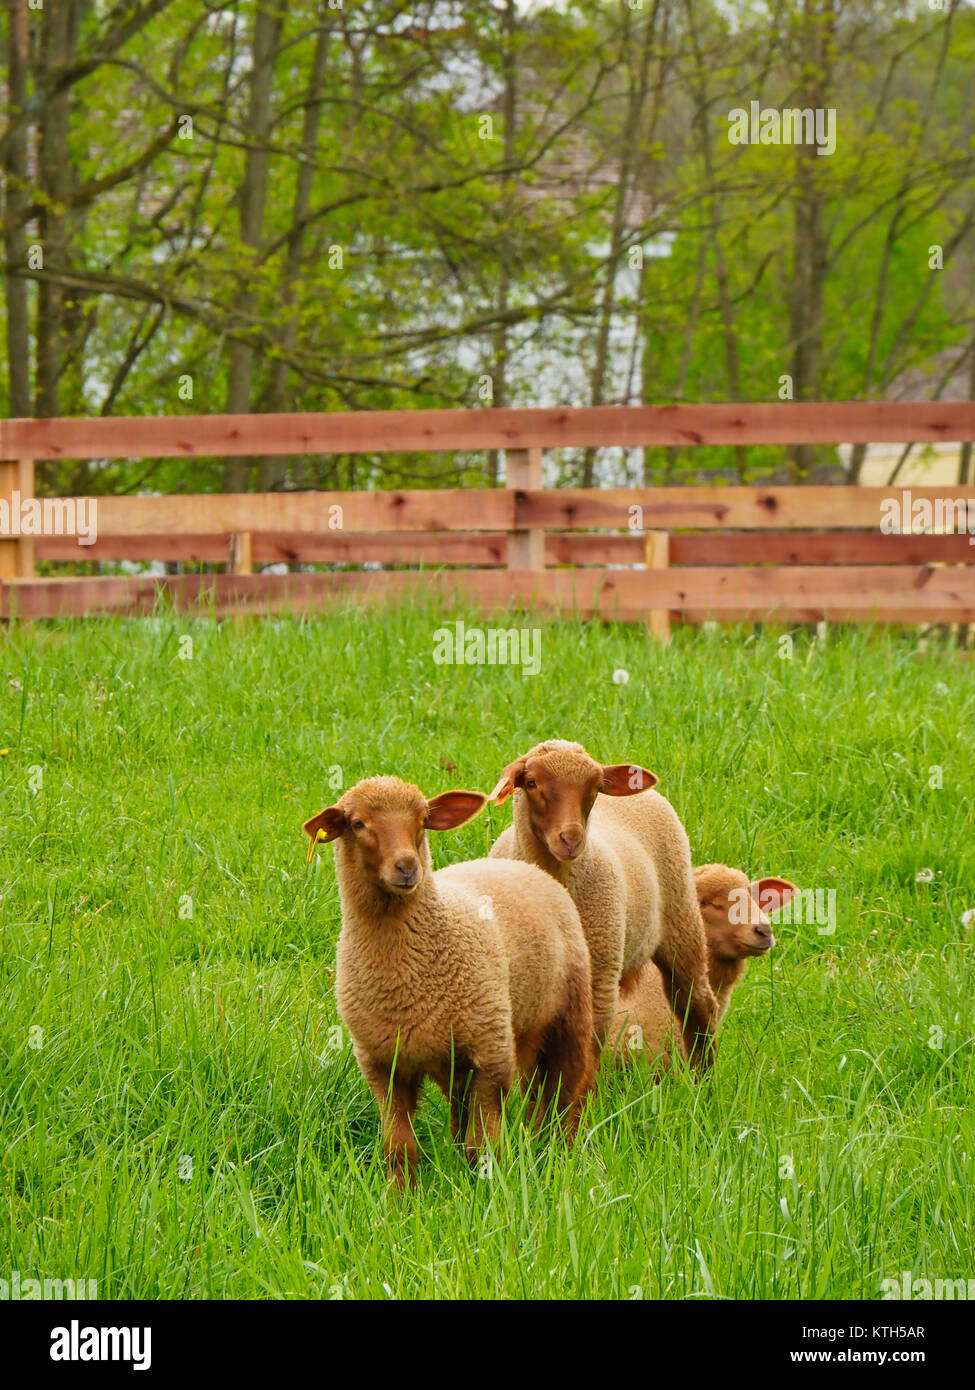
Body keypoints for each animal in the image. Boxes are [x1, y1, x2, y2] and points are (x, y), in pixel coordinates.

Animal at [304, 776, 593, 1188]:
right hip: (455, 1057)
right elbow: (399, 1149)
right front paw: (400, 1198)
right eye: (357, 823)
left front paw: (486, 1193)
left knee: (566, 1090)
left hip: (568, 1013)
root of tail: (519, 865)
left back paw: (561, 1153)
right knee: (465, 1111)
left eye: (423, 819)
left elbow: (483, 1147)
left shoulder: (492, 1056)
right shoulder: (382, 1065)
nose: (407, 867)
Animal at [488, 740, 718, 1068]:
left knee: (695, 1001)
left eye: (596, 787)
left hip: (680, 916)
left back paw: (703, 1076)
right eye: (531, 782)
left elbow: (587, 1045)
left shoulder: (598, 975)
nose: (571, 839)